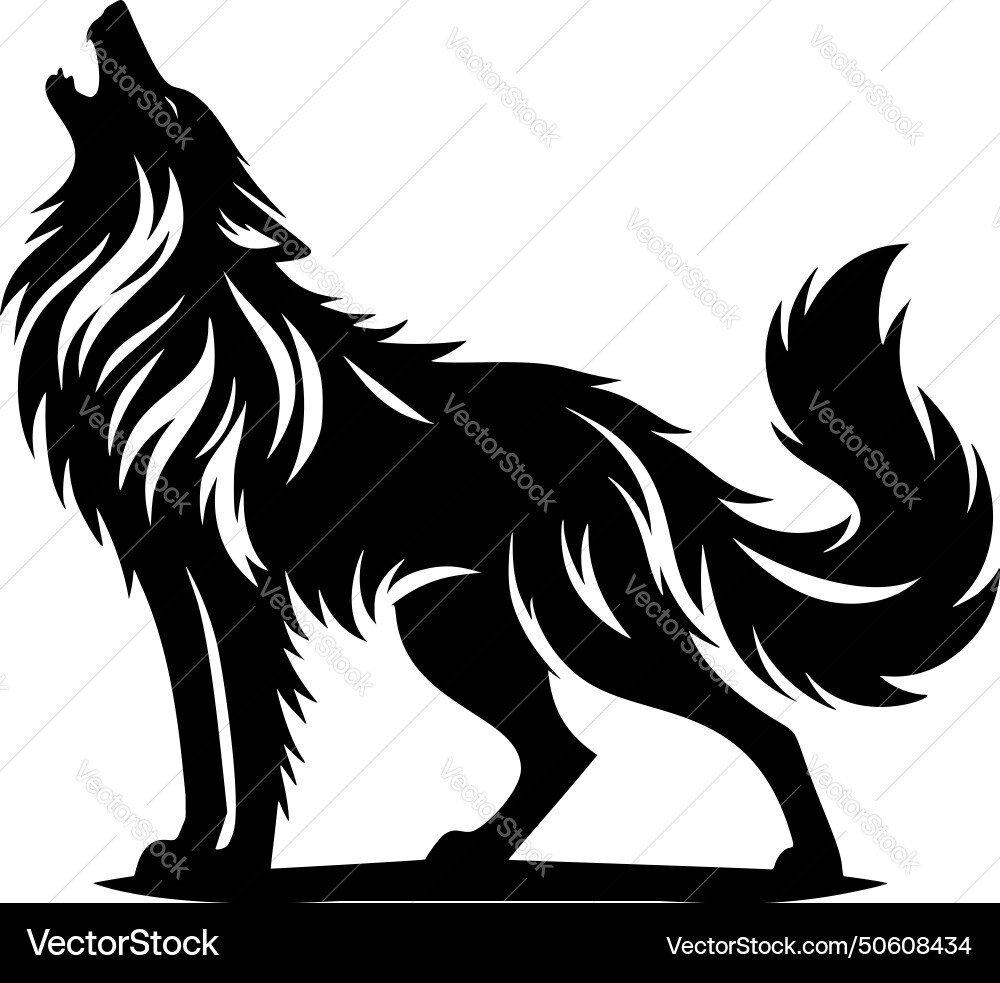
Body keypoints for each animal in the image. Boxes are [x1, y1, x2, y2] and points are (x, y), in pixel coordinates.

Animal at [3, 2, 994, 888]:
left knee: (754, 726)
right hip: (456, 622)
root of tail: (609, 429)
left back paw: (815, 865)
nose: (114, 6)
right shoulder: (172, 579)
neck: (140, 292)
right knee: (567, 749)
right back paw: (478, 854)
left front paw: (237, 866)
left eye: (165, 91)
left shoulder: (238, 585)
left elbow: (251, 738)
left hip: (553, 627)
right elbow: (199, 735)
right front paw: (183, 854)